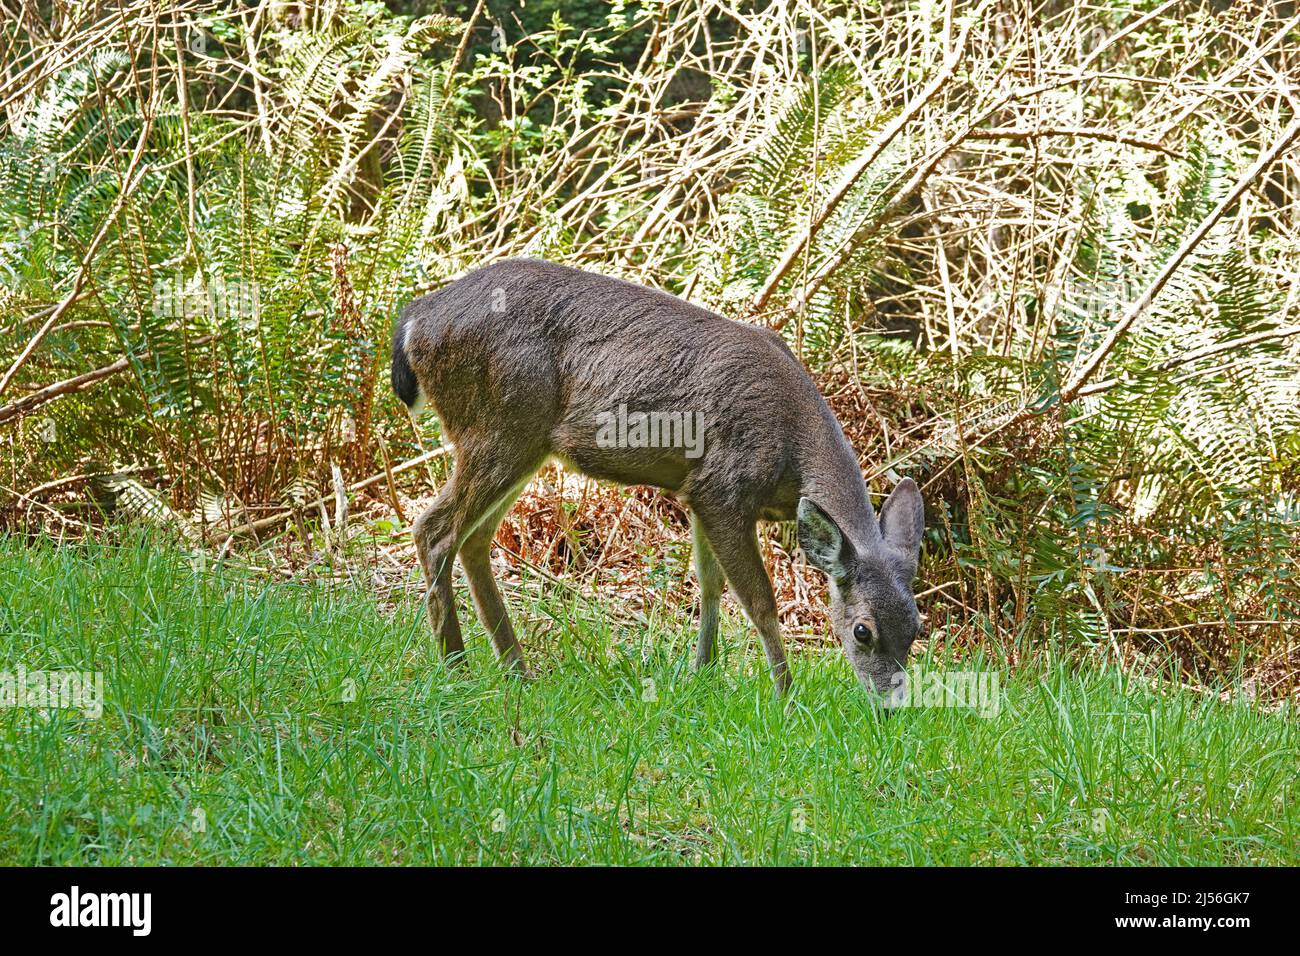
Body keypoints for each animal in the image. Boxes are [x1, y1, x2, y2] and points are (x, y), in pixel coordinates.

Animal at [391, 258, 924, 696]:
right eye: (862, 630)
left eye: (916, 628)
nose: (890, 707)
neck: (791, 449)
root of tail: (417, 318)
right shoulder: (722, 488)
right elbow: (758, 598)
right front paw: (785, 694)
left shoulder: (698, 491)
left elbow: (709, 584)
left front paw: (702, 673)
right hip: (499, 427)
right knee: (434, 529)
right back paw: (457, 667)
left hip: (521, 443)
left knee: (474, 539)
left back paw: (517, 670)